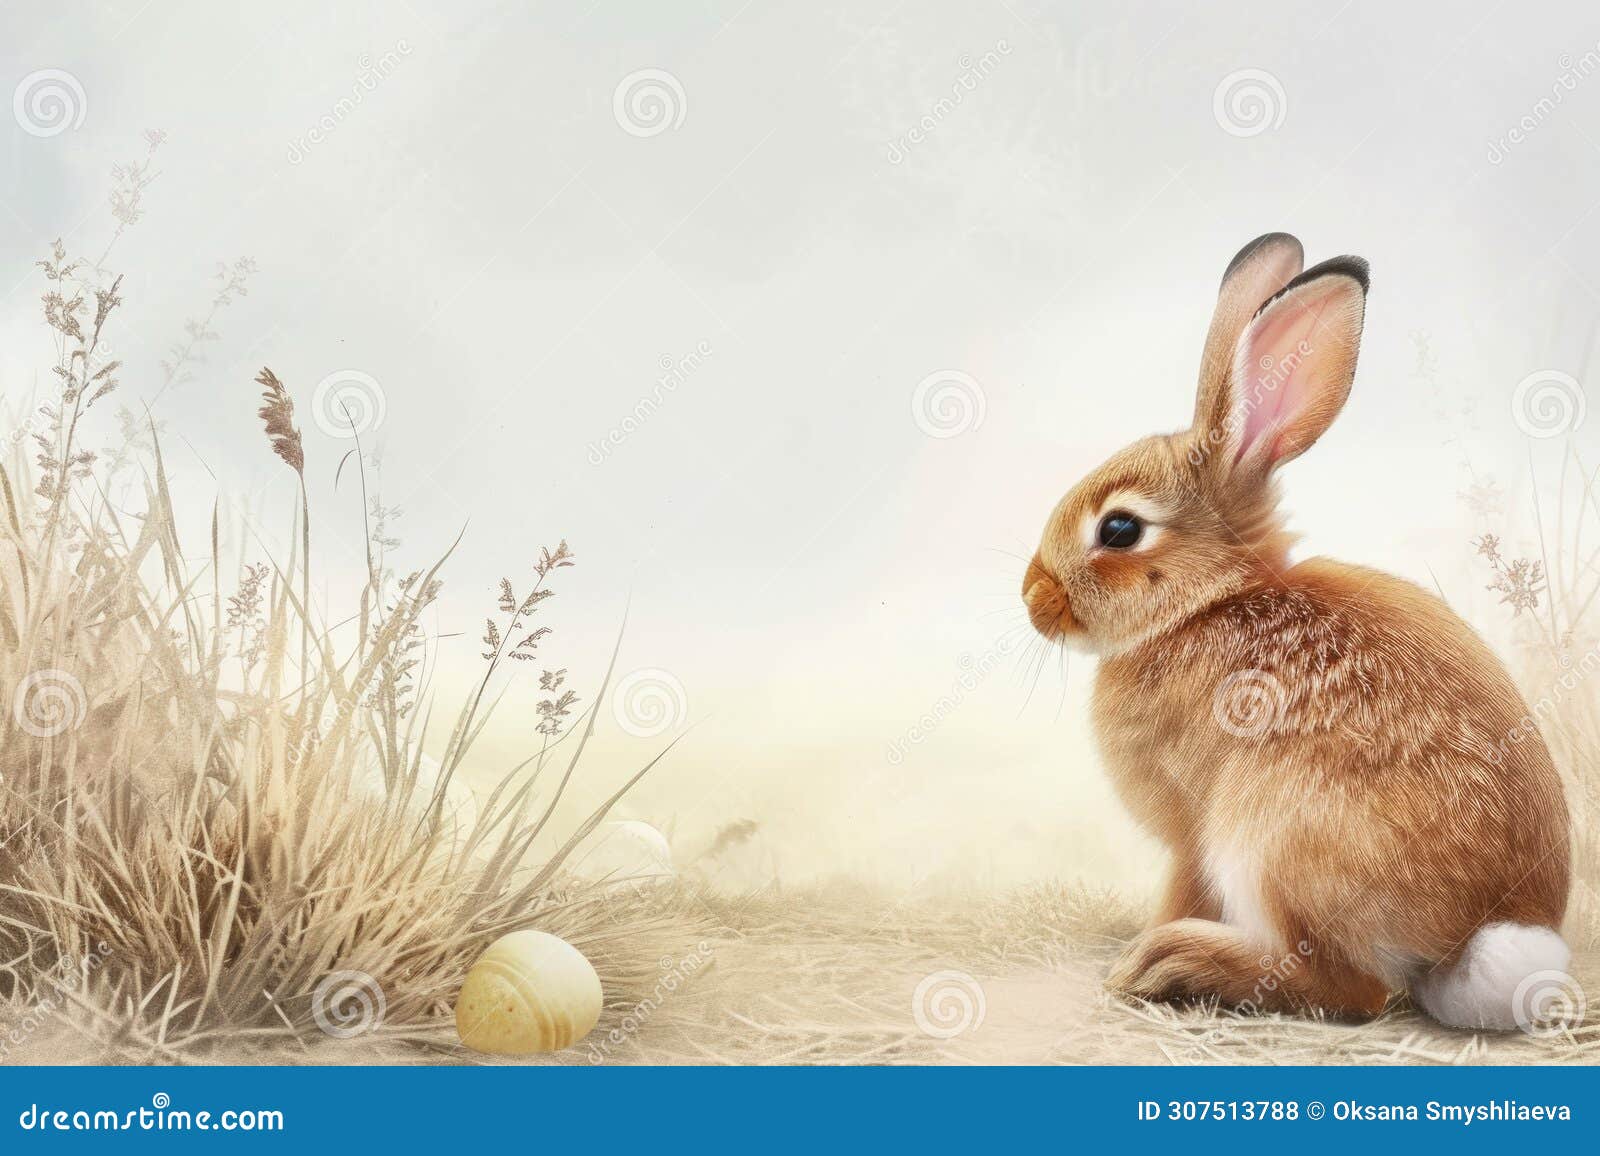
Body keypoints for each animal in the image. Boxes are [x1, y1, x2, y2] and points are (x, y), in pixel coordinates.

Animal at [1021, 232, 1570, 1028]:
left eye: (1119, 529)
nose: (1033, 599)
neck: (1209, 603)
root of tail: (1487, 930)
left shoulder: (1193, 832)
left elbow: (1181, 888)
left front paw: (1137, 952)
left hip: (1272, 839)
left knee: (1348, 987)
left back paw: (1176, 963)